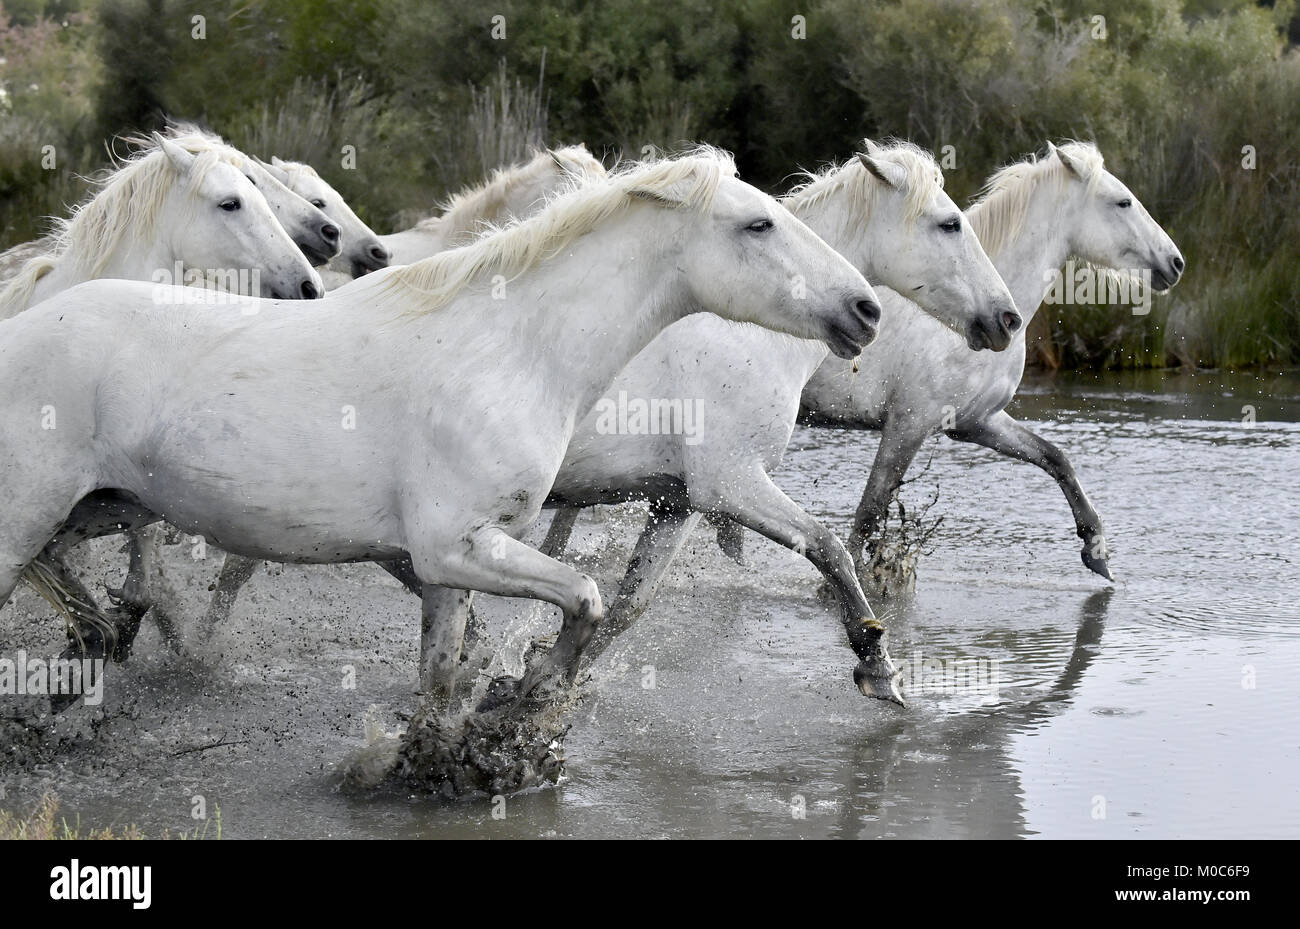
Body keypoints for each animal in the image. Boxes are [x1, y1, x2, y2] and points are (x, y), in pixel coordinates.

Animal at [473, 140, 1018, 707]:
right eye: (950, 224)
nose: (1007, 319)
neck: (752, 335)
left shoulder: (678, 504)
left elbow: (629, 607)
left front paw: (536, 685)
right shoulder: (732, 484)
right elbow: (829, 548)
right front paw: (877, 664)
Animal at [800, 142, 1185, 582]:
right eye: (1123, 202)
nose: (1175, 263)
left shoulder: (976, 422)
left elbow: (1056, 458)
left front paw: (1096, 549)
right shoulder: (909, 424)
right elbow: (869, 511)